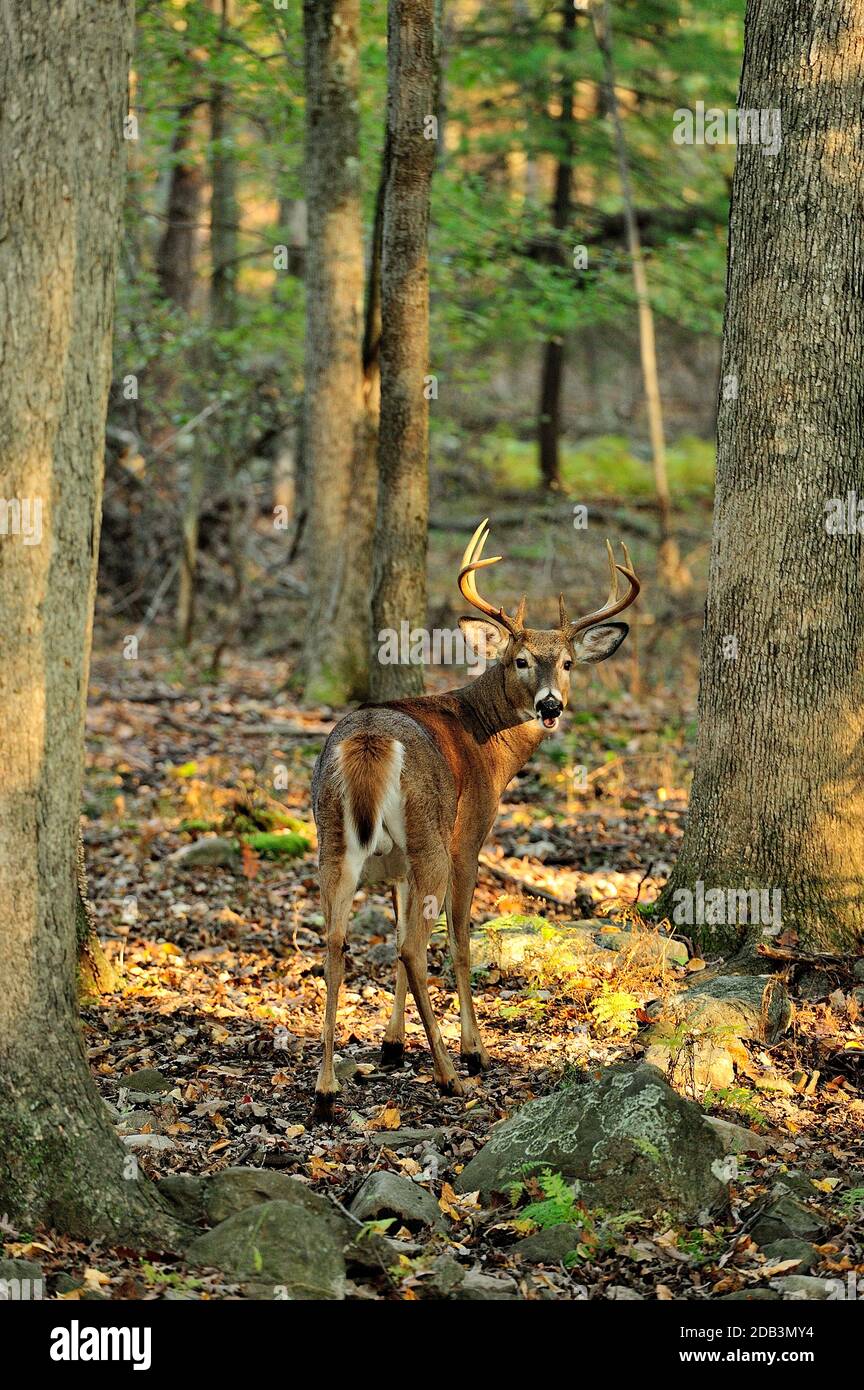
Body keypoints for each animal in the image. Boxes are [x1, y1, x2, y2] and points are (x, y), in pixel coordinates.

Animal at [310, 520, 640, 1118]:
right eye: (520, 660)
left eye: (568, 663)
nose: (551, 705)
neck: (488, 741)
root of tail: (369, 741)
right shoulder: (469, 839)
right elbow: (460, 942)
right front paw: (473, 1050)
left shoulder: (397, 867)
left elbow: (394, 933)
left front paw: (392, 1044)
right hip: (431, 836)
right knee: (416, 948)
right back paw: (450, 1076)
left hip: (336, 842)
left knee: (337, 943)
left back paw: (325, 1091)